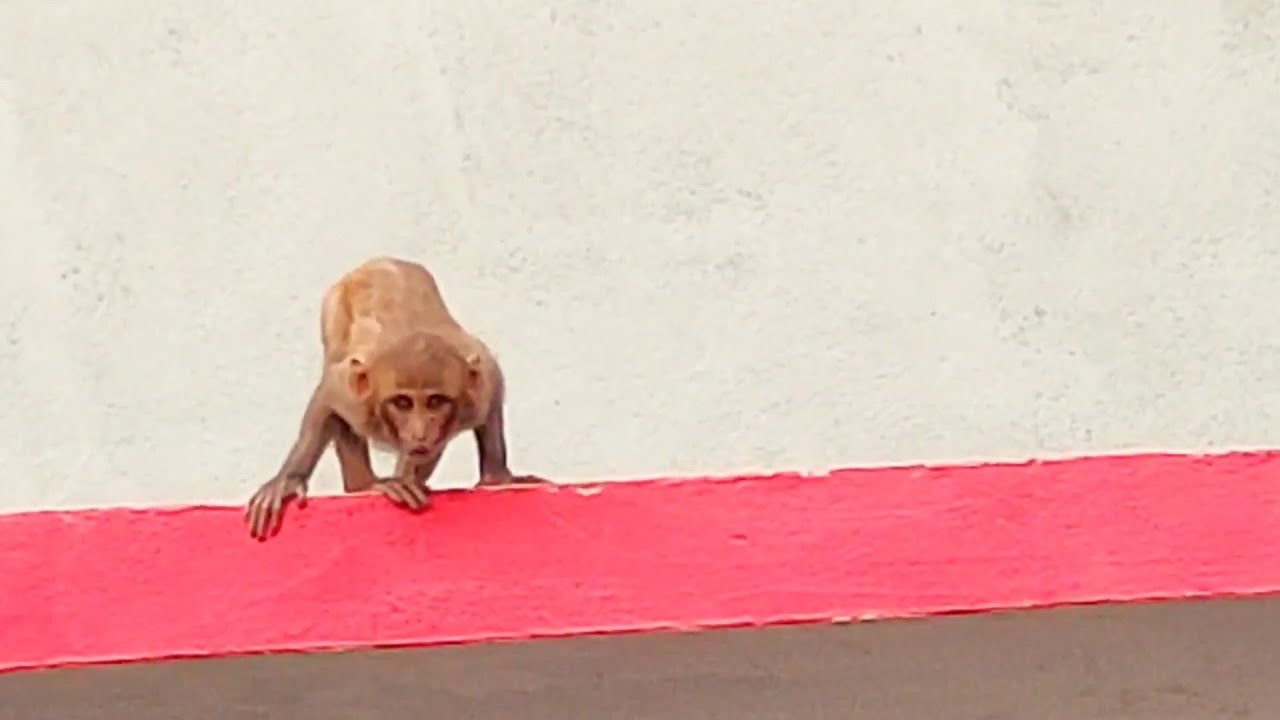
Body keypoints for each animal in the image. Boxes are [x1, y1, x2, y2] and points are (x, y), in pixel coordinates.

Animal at [245, 256, 547, 540]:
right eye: (402, 402)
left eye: (435, 401)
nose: (419, 430)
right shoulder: (350, 396)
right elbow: (327, 395)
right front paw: (287, 481)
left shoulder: (481, 387)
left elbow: (491, 399)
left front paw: (496, 476)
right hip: (333, 307)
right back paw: (363, 485)